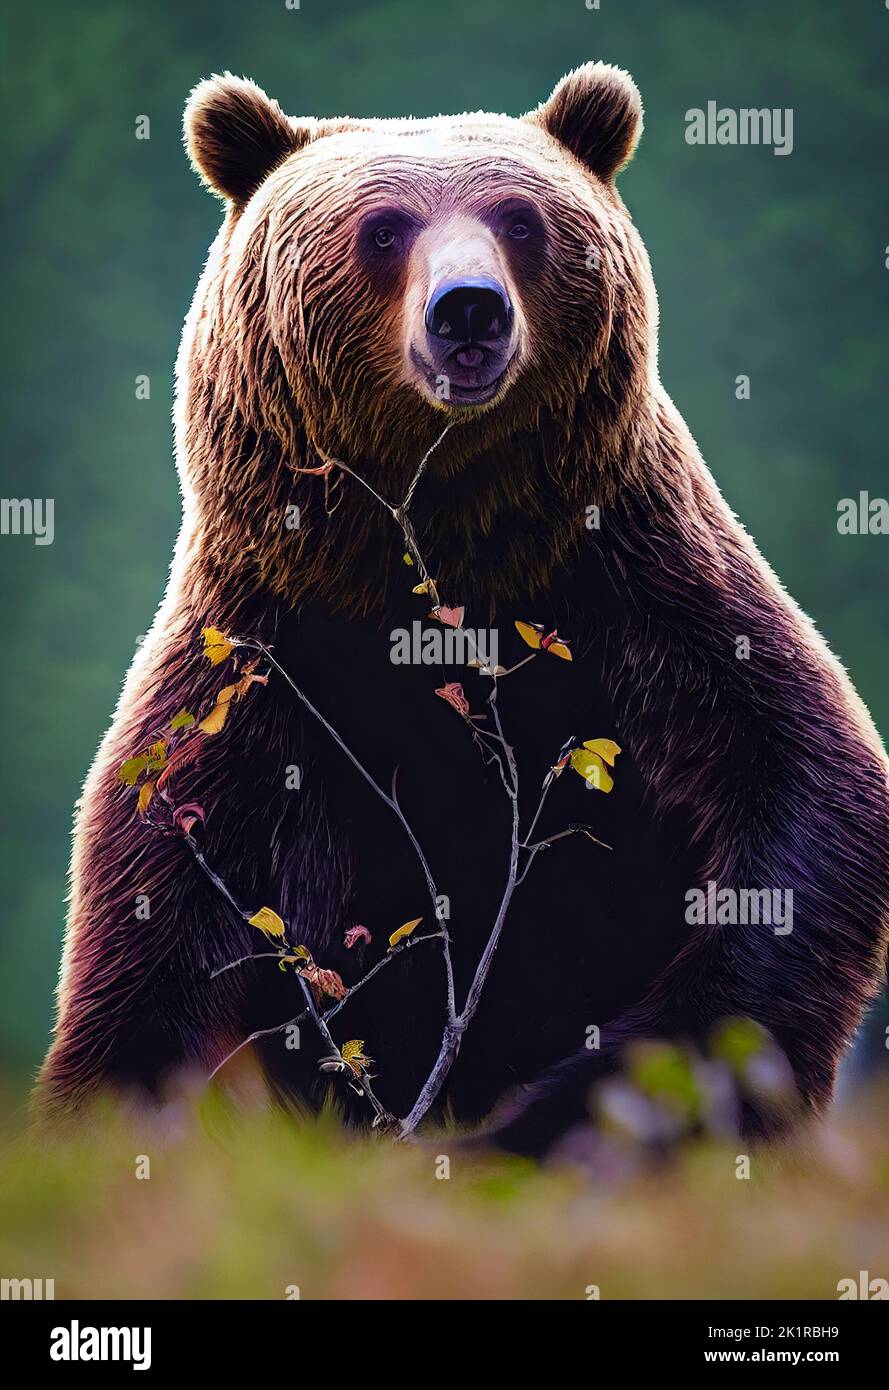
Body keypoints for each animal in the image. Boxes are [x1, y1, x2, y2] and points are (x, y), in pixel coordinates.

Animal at [38, 63, 889, 1156]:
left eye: (521, 220)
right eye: (383, 228)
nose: (469, 311)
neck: (440, 549)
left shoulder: (639, 601)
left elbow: (793, 799)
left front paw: (564, 1115)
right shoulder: (264, 662)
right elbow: (164, 905)